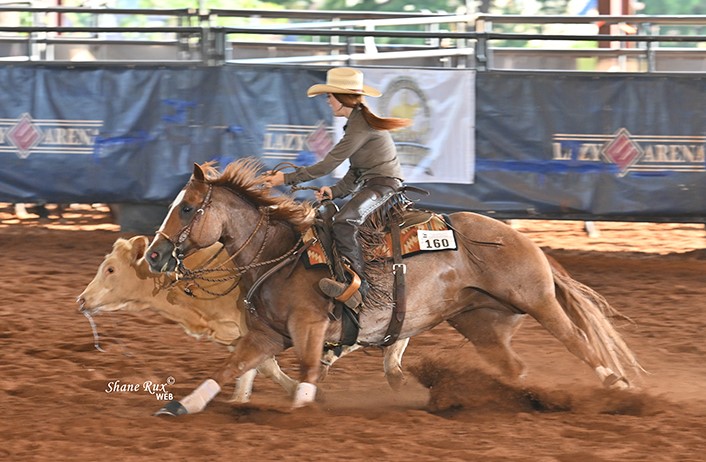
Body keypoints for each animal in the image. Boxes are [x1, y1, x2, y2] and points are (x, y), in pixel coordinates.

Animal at [144, 158, 643, 415]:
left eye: (186, 208)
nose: (153, 255)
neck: (281, 255)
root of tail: (521, 238)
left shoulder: (308, 327)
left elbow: (307, 369)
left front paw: (304, 404)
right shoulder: (268, 335)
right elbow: (231, 366)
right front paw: (182, 405)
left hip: (536, 299)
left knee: (577, 341)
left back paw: (617, 386)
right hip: (483, 324)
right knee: (515, 367)